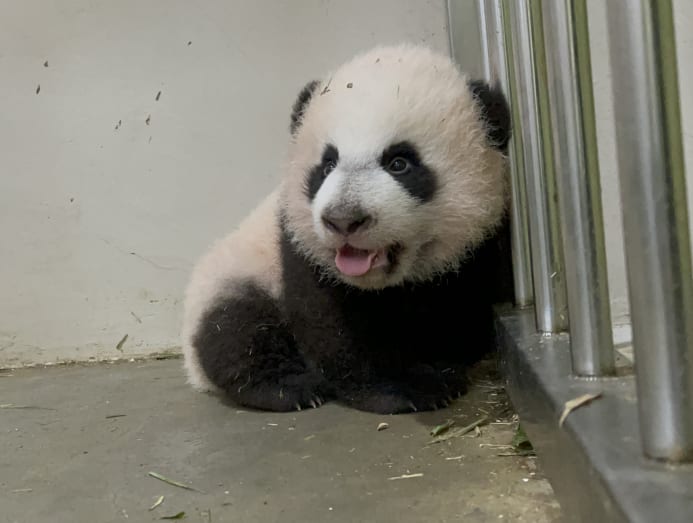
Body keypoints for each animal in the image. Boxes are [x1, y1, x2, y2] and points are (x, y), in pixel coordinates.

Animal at [181, 44, 513, 414]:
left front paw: (439, 364)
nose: (343, 219)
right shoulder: (300, 248)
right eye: (327, 165)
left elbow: (461, 313)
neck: (383, 285)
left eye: (399, 163)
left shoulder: (478, 250)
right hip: (235, 275)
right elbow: (332, 324)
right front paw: (404, 387)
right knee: (235, 330)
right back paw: (289, 386)